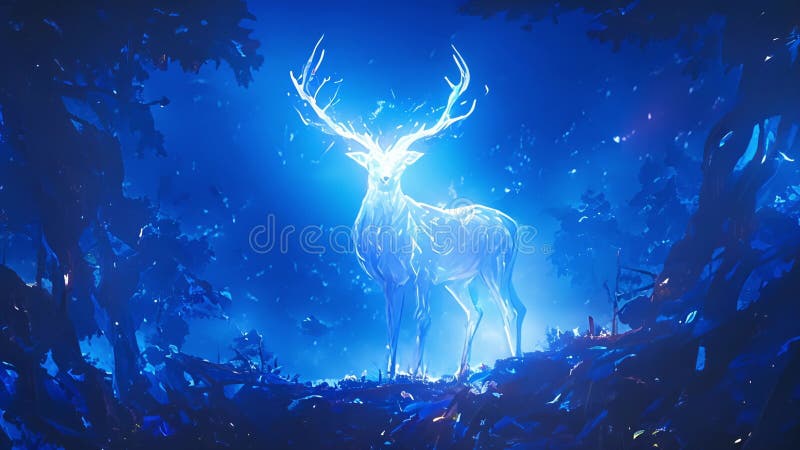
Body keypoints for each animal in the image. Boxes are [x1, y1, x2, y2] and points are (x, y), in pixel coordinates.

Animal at [290, 37, 526, 379]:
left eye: (401, 163)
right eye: (372, 163)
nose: (386, 177)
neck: (388, 242)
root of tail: (513, 224)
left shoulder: (423, 270)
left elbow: (423, 318)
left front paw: (415, 373)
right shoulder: (388, 280)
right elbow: (391, 326)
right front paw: (389, 373)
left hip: (496, 266)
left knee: (510, 309)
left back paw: (514, 359)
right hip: (460, 280)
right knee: (479, 310)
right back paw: (461, 369)